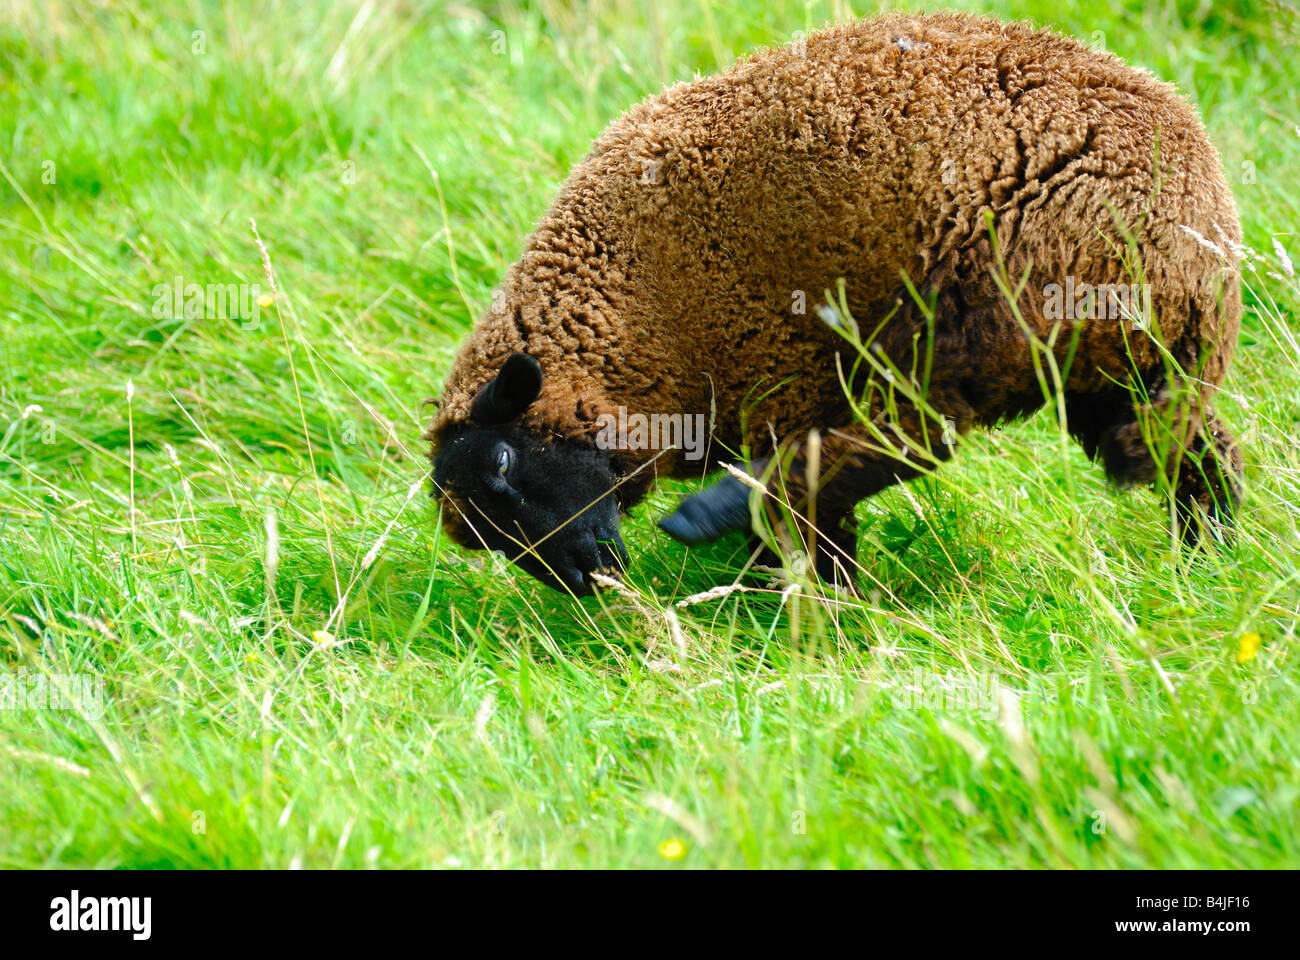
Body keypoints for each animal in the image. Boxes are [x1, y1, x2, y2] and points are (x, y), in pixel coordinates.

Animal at [427, 11, 1243, 596]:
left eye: (504, 459)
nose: (587, 577)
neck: (636, 312)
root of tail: (1200, 219)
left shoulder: (782, 376)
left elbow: (812, 519)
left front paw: (811, 596)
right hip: (1120, 364)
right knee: (1192, 451)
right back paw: (1209, 560)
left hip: (986, 312)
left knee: (912, 435)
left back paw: (709, 516)